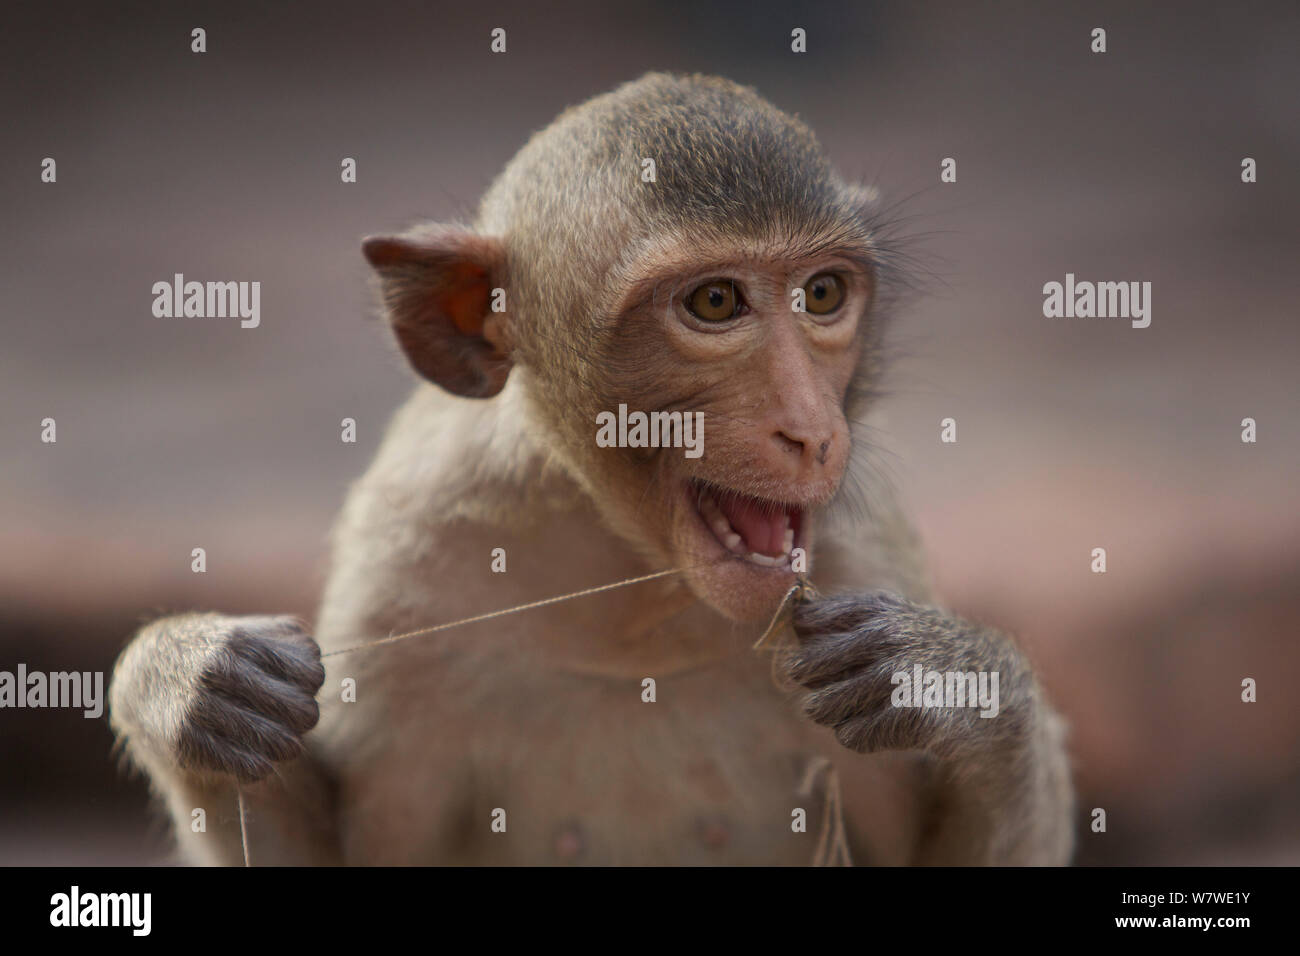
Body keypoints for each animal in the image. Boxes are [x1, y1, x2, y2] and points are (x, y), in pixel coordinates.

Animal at [109, 72, 1074, 865]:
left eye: (825, 294)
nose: (811, 431)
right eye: (715, 302)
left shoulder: (858, 557)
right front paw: (189, 685)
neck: (636, 590)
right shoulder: (411, 557)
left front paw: (952, 677)